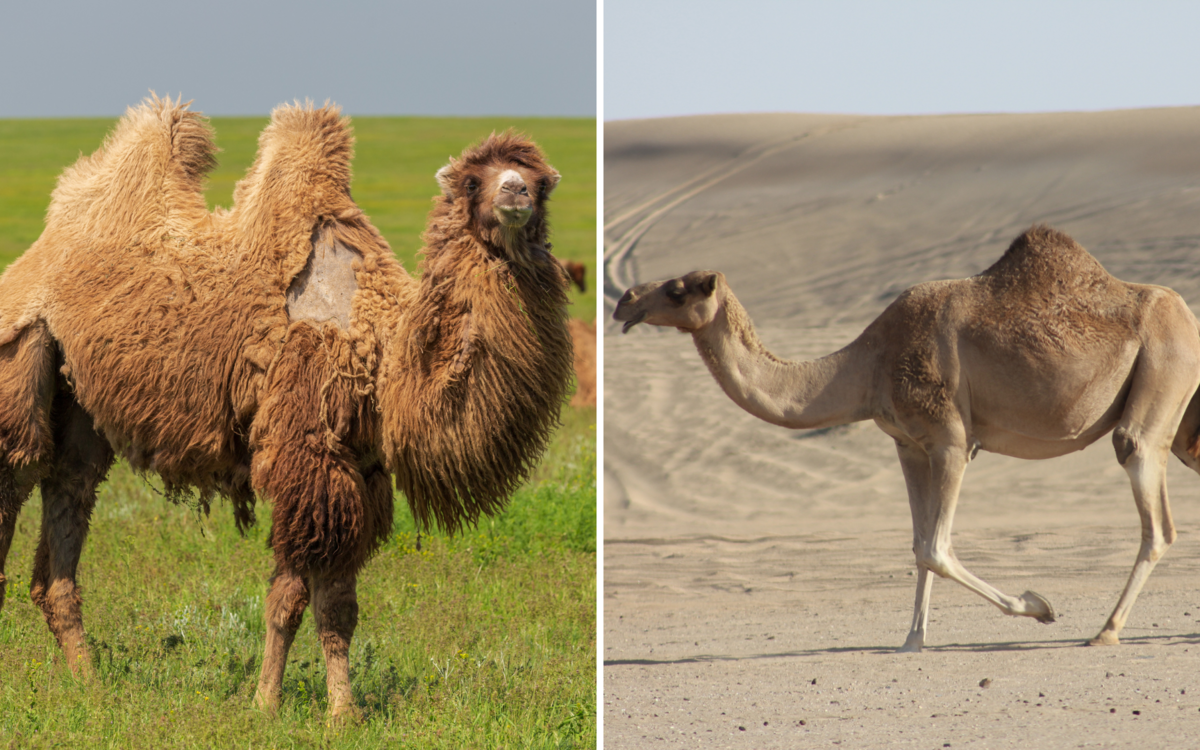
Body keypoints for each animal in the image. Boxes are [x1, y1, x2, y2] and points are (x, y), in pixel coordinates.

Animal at [0, 97, 573, 718]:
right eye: (472, 181)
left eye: (540, 181)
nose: (515, 193)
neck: (385, 355)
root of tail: (36, 254)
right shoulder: (306, 449)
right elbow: (290, 597)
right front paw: (268, 705)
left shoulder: (362, 469)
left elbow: (339, 604)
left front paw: (343, 713)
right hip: (23, 351)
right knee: (16, 473)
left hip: (80, 402)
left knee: (69, 486)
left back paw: (89, 683)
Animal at [614, 225, 1200, 652]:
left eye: (677, 289)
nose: (624, 300)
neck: (867, 365)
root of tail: (1190, 317)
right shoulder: (908, 445)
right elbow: (919, 547)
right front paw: (912, 639)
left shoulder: (950, 440)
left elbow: (937, 547)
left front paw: (1039, 606)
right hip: (1185, 415)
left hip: (1161, 370)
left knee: (1149, 498)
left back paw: (1106, 631)